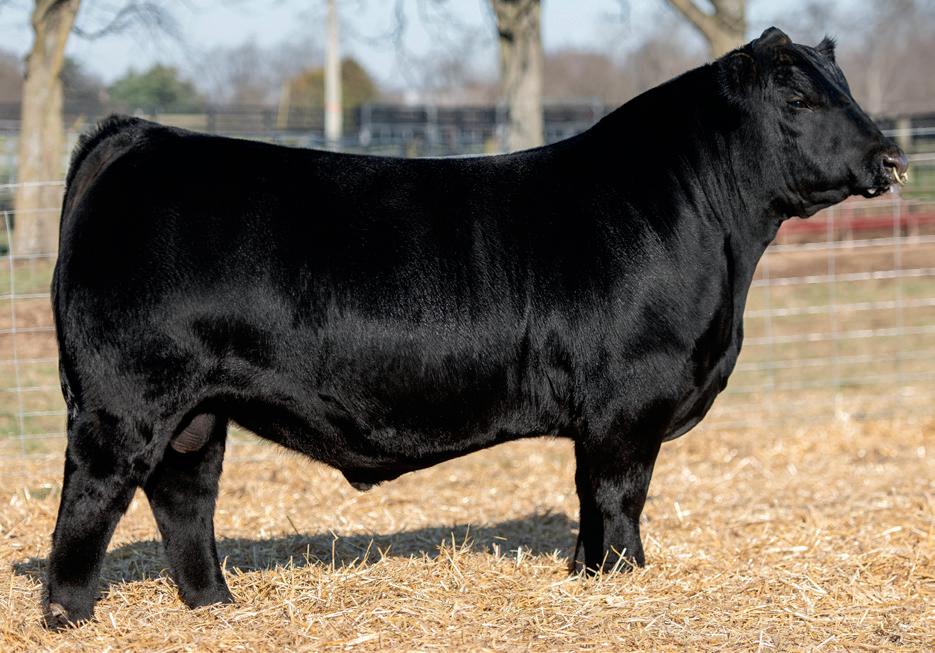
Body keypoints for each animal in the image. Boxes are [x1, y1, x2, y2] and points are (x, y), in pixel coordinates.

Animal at [44, 27, 907, 628]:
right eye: (797, 98)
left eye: (841, 85)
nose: (889, 156)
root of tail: (144, 136)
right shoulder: (626, 404)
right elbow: (619, 498)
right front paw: (624, 579)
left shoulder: (603, 417)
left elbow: (589, 506)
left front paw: (588, 575)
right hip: (126, 399)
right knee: (94, 493)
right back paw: (69, 615)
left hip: (196, 410)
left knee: (184, 496)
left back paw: (216, 603)